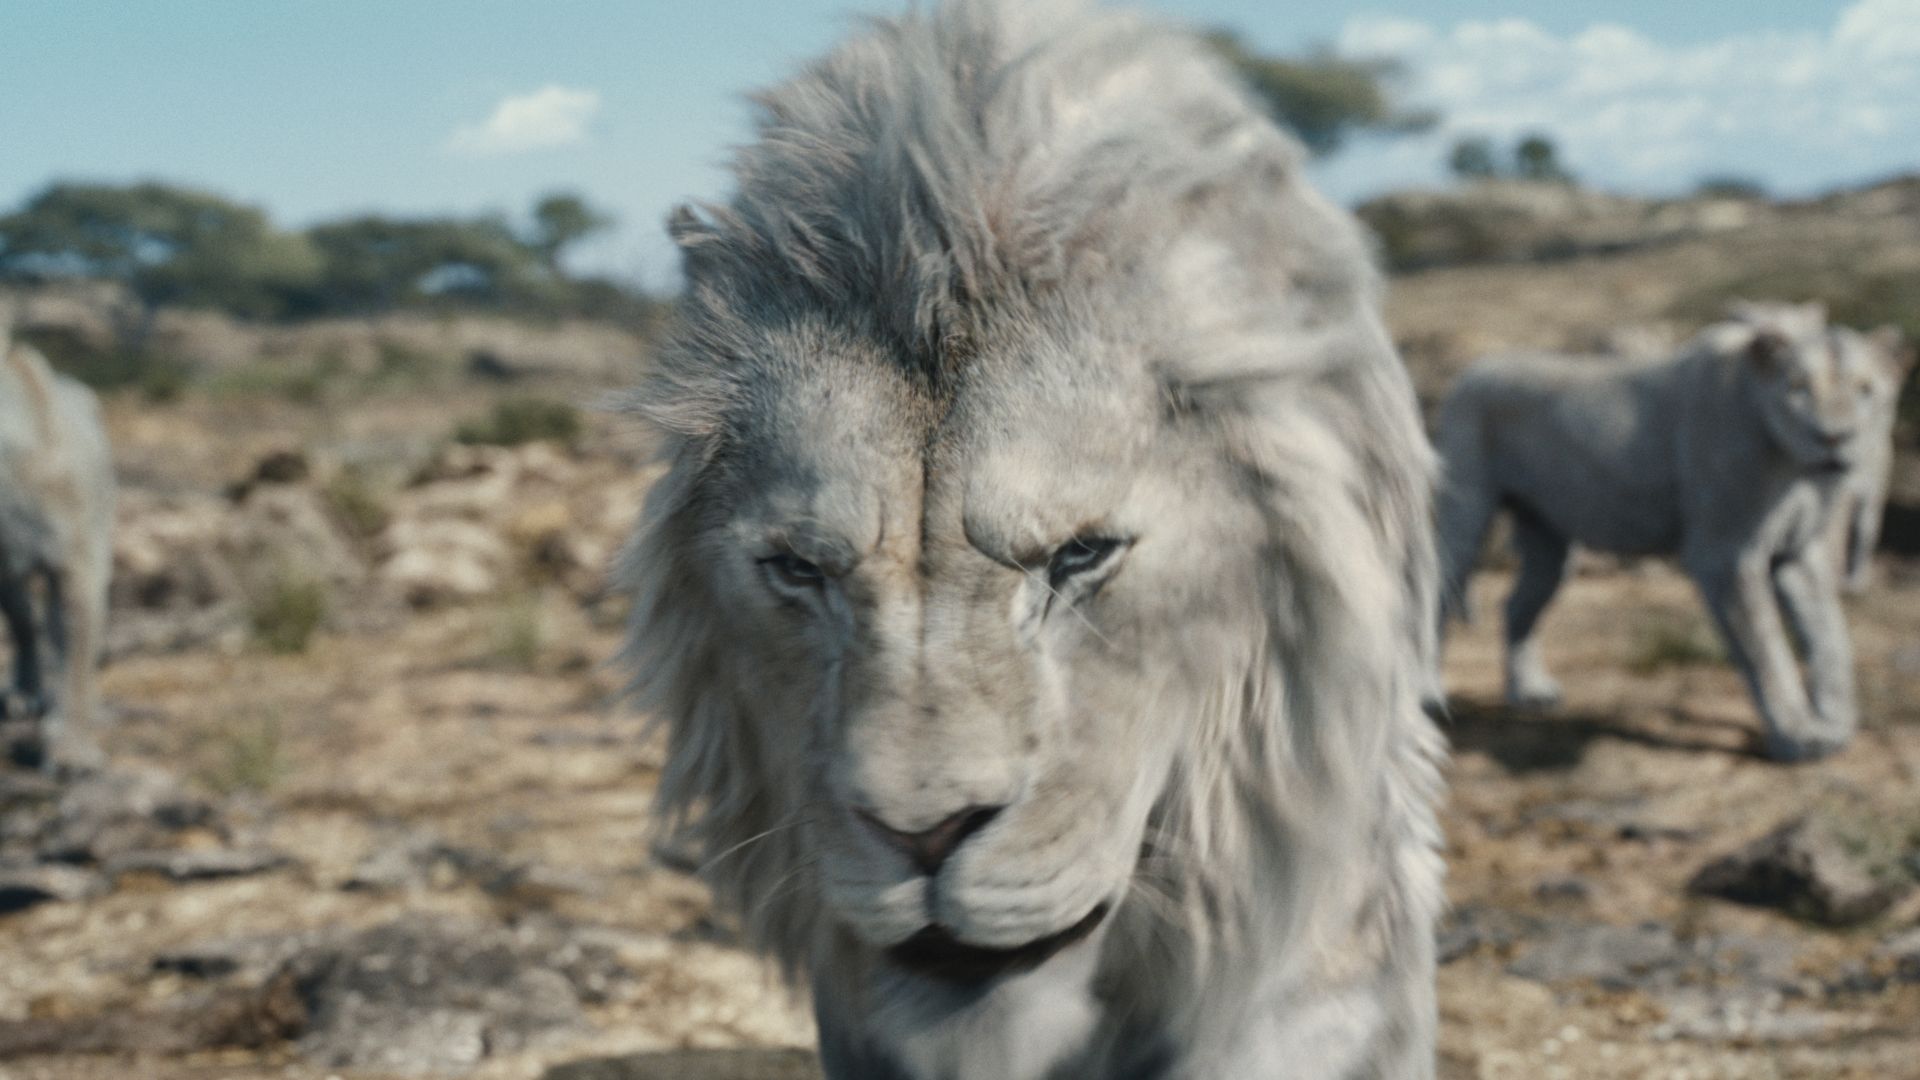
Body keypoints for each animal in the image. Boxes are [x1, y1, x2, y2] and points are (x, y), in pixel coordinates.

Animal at [1434, 302, 1907, 763]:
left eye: (1865, 389)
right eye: (1798, 388)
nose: (1834, 437)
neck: (1795, 466)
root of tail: (1469, 374)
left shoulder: (1797, 552)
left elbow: (1830, 638)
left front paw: (1836, 725)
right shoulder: (1724, 556)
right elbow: (1766, 649)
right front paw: (1799, 737)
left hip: (1549, 545)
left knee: (1516, 605)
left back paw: (1529, 693)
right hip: (1464, 519)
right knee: (1435, 598)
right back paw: (1430, 697)